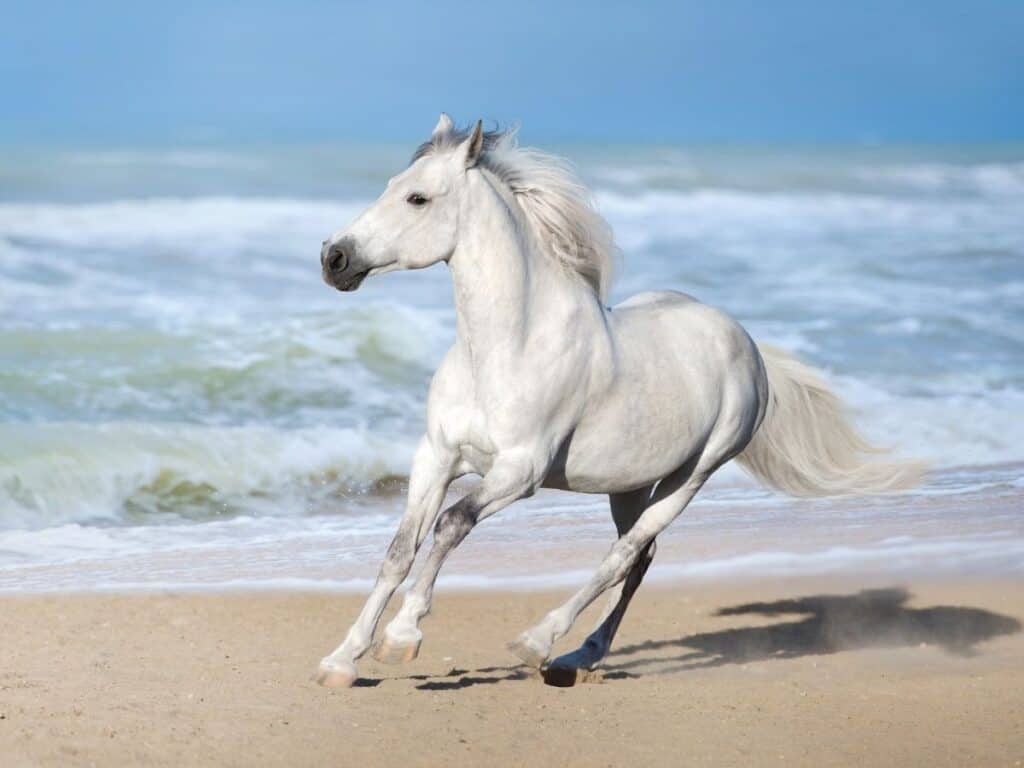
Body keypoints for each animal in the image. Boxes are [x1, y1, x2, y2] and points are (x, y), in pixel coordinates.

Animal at [313, 115, 922, 688]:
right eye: (390, 185)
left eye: (417, 198)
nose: (334, 257)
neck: (507, 349)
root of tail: (747, 345)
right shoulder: (437, 456)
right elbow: (399, 550)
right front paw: (341, 661)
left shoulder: (519, 472)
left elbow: (451, 525)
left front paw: (402, 638)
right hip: (628, 483)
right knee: (641, 556)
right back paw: (580, 655)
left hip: (693, 474)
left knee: (624, 554)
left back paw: (541, 643)